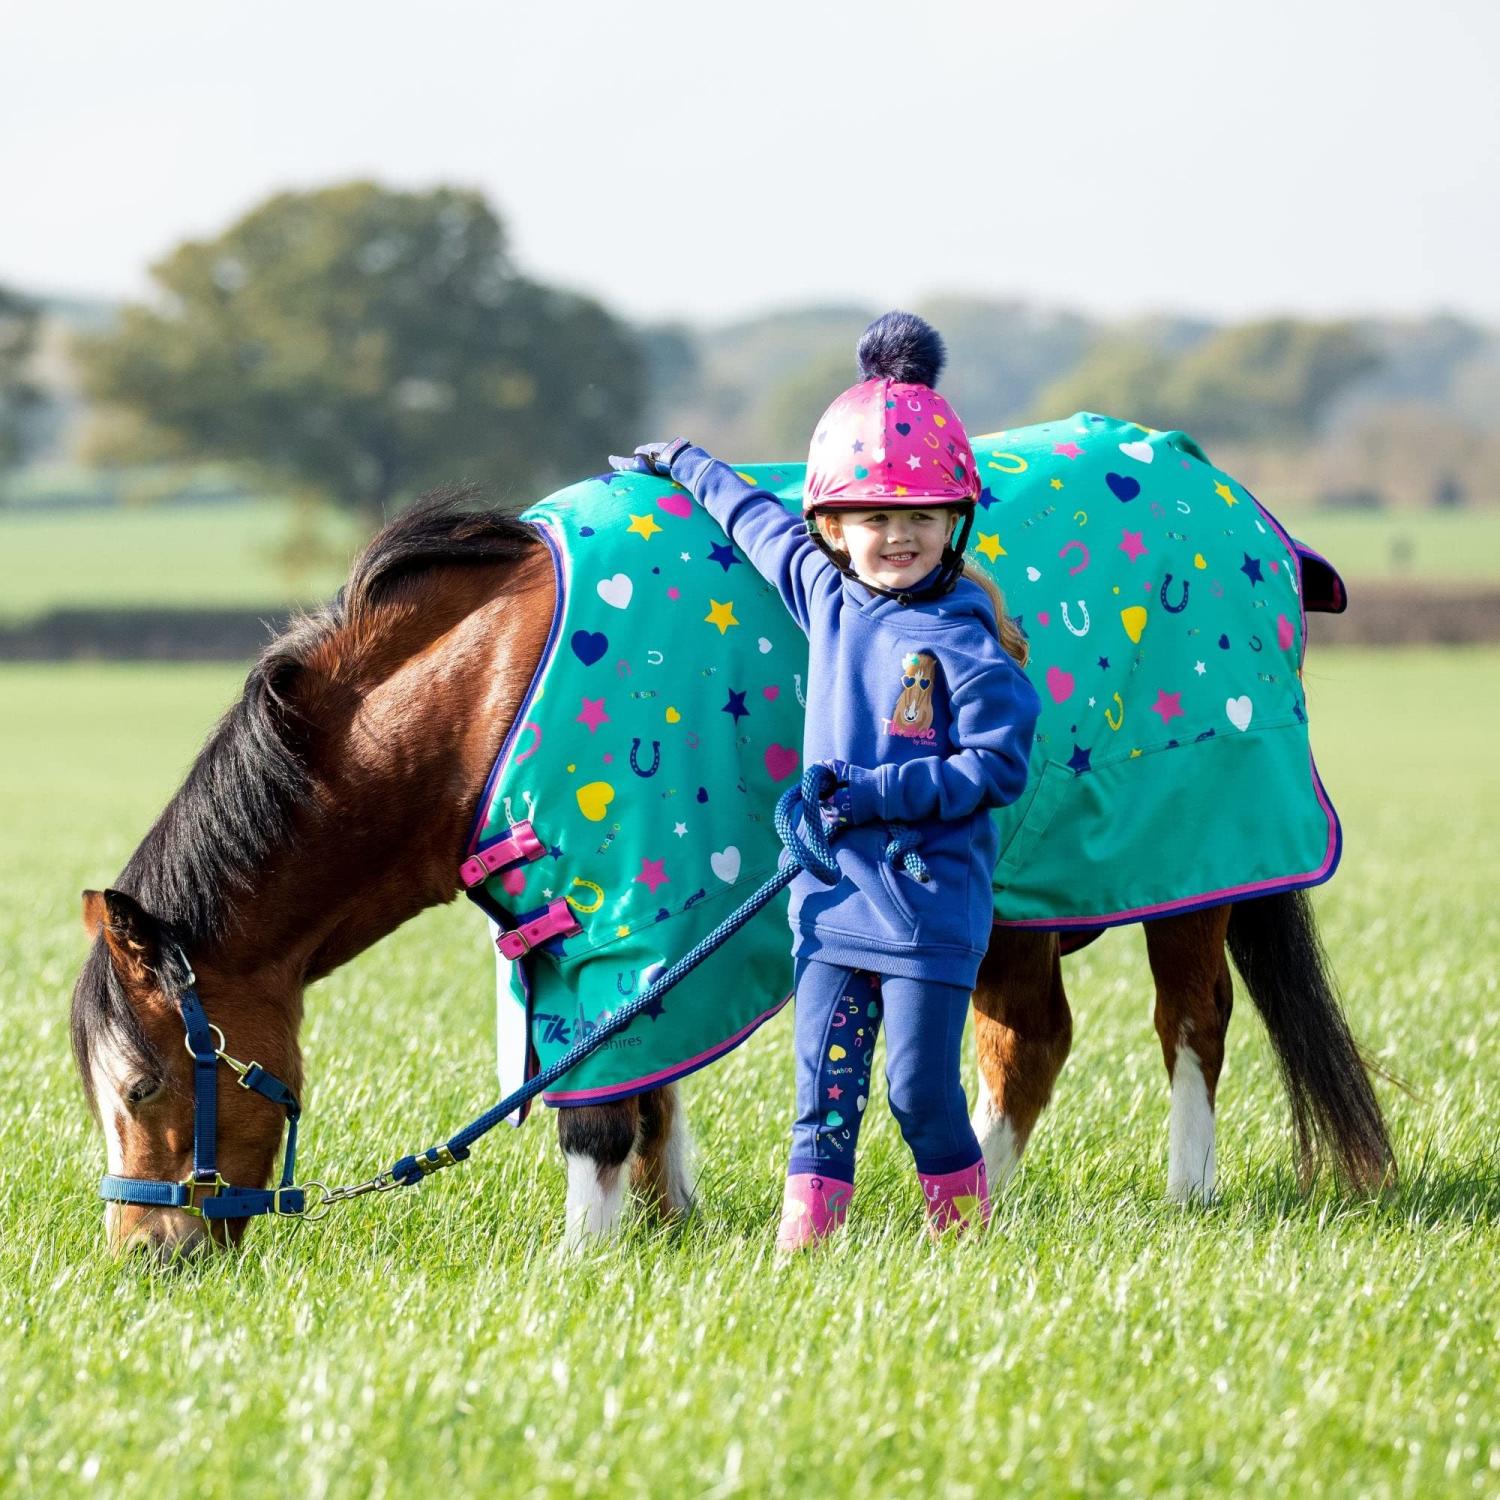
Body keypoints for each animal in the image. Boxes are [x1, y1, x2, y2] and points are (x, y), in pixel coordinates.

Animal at [70, 490, 1394, 1258]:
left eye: (140, 1087)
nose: (145, 1256)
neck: (477, 696)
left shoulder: (622, 912)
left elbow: (599, 1101)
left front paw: (586, 1254)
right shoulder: (617, 933)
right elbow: (646, 1079)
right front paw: (664, 1222)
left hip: (1200, 862)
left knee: (1193, 1018)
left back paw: (1187, 1188)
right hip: (1013, 890)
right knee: (1029, 1040)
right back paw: (983, 1194)